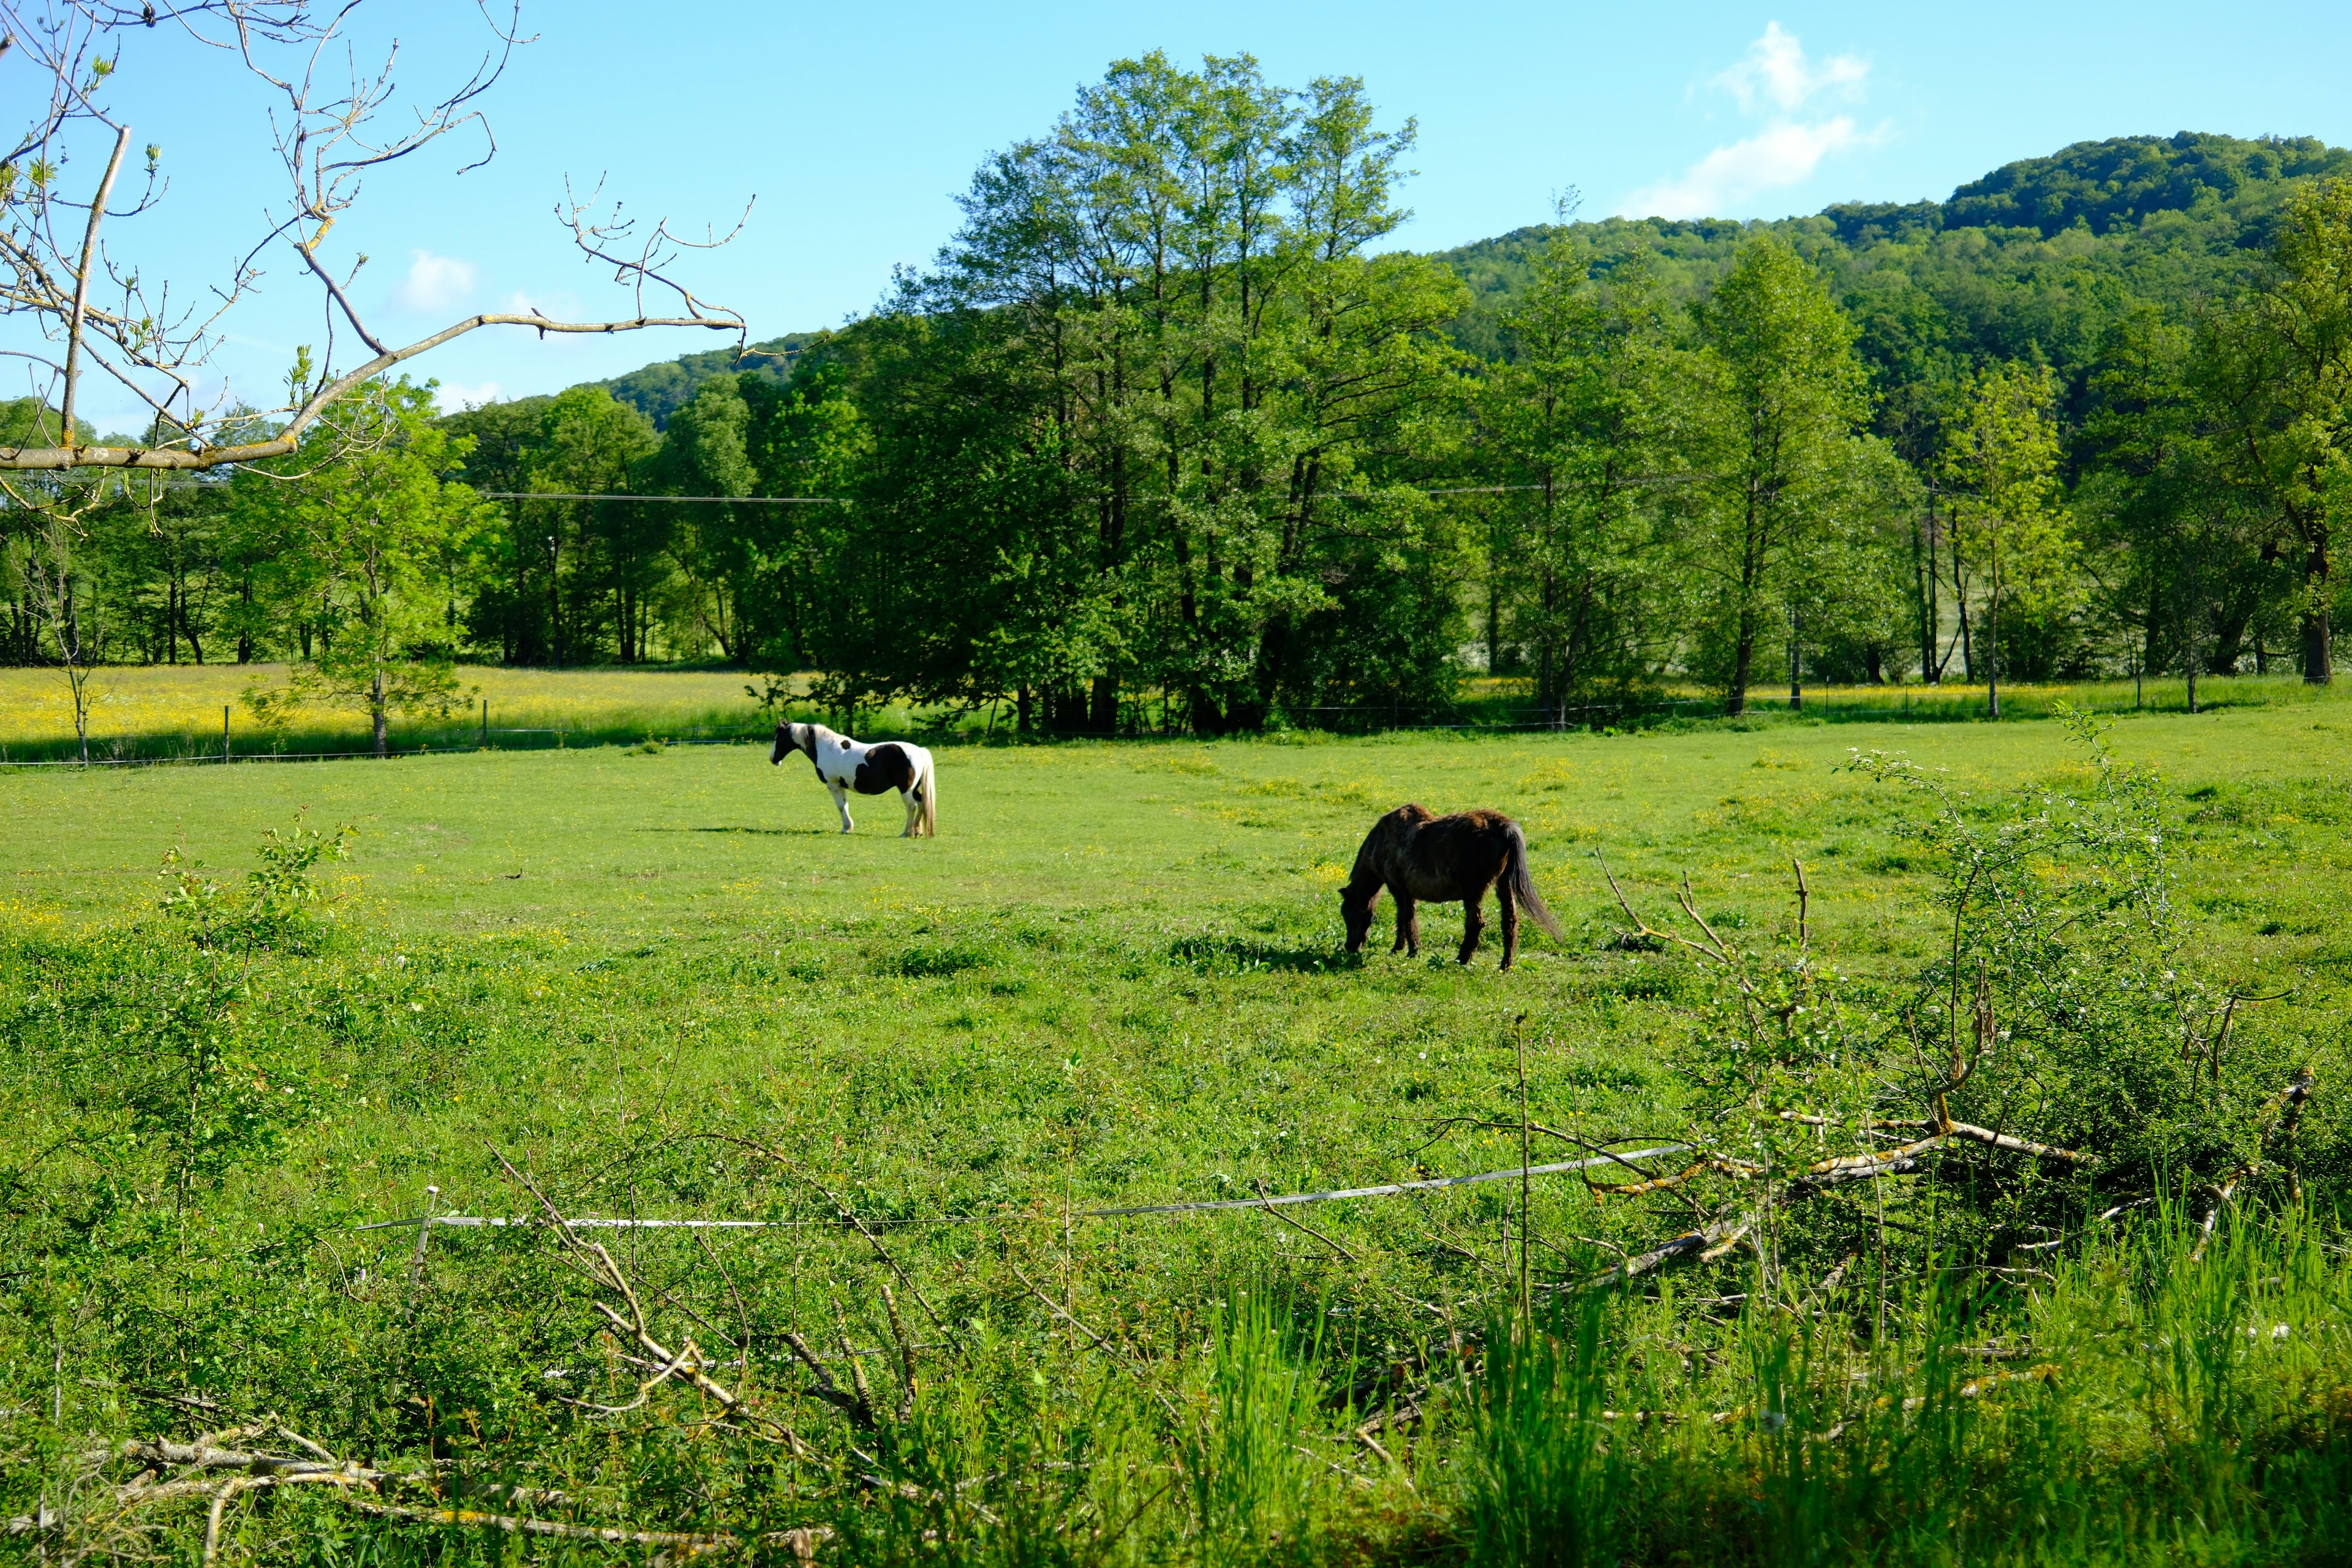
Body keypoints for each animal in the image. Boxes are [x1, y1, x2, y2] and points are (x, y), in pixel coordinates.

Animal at [771, 722, 938, 837]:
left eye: (778, 738)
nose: (773, 759)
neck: (826, 747)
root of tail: (919, 751)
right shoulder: (841, 786)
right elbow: (845, 806)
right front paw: (848, 827)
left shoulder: (833, 785)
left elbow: (840, 807)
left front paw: (846, 828)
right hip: (915, 789)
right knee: (922, 804)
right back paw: (917, 831)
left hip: (906, 790)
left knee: (912, 807)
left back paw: (906, 833)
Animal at [1339, 803, 1563, 970]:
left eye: (1349, 914)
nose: (1350, 947)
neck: (1380, 843)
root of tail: (1505, 828)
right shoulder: (1407, 893)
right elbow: (1404, 918)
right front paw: (1401, 949)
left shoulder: (1398, 888)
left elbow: (1406, 918)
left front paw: (1409, 951)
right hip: (1503, 885)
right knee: (1510, 922)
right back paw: (1505, 965)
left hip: (1473, 892)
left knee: (1475, 924)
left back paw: (1461, 959)